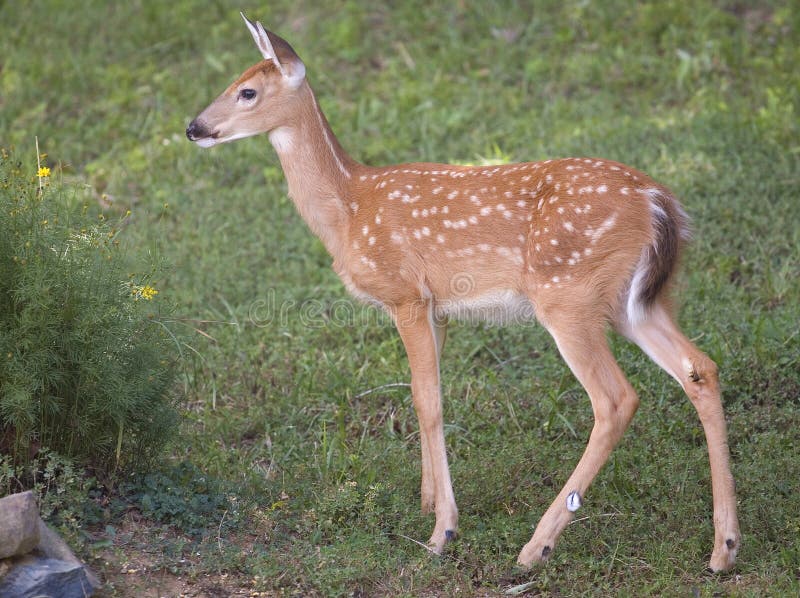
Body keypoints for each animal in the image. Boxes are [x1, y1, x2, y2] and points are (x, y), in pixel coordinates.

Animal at [186, 13, 740, 571]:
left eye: (247, 91)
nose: (194, 128)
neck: (348, 207)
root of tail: (660, 203)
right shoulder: (439, 308)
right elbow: (421, 395)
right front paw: (426, 500)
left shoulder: (405, 294)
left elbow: (428, 401)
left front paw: (442, 531)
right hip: (639, 301)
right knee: (700, 368)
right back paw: (724, 547)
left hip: (569, 294)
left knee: (615, 399)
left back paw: (536, 546)